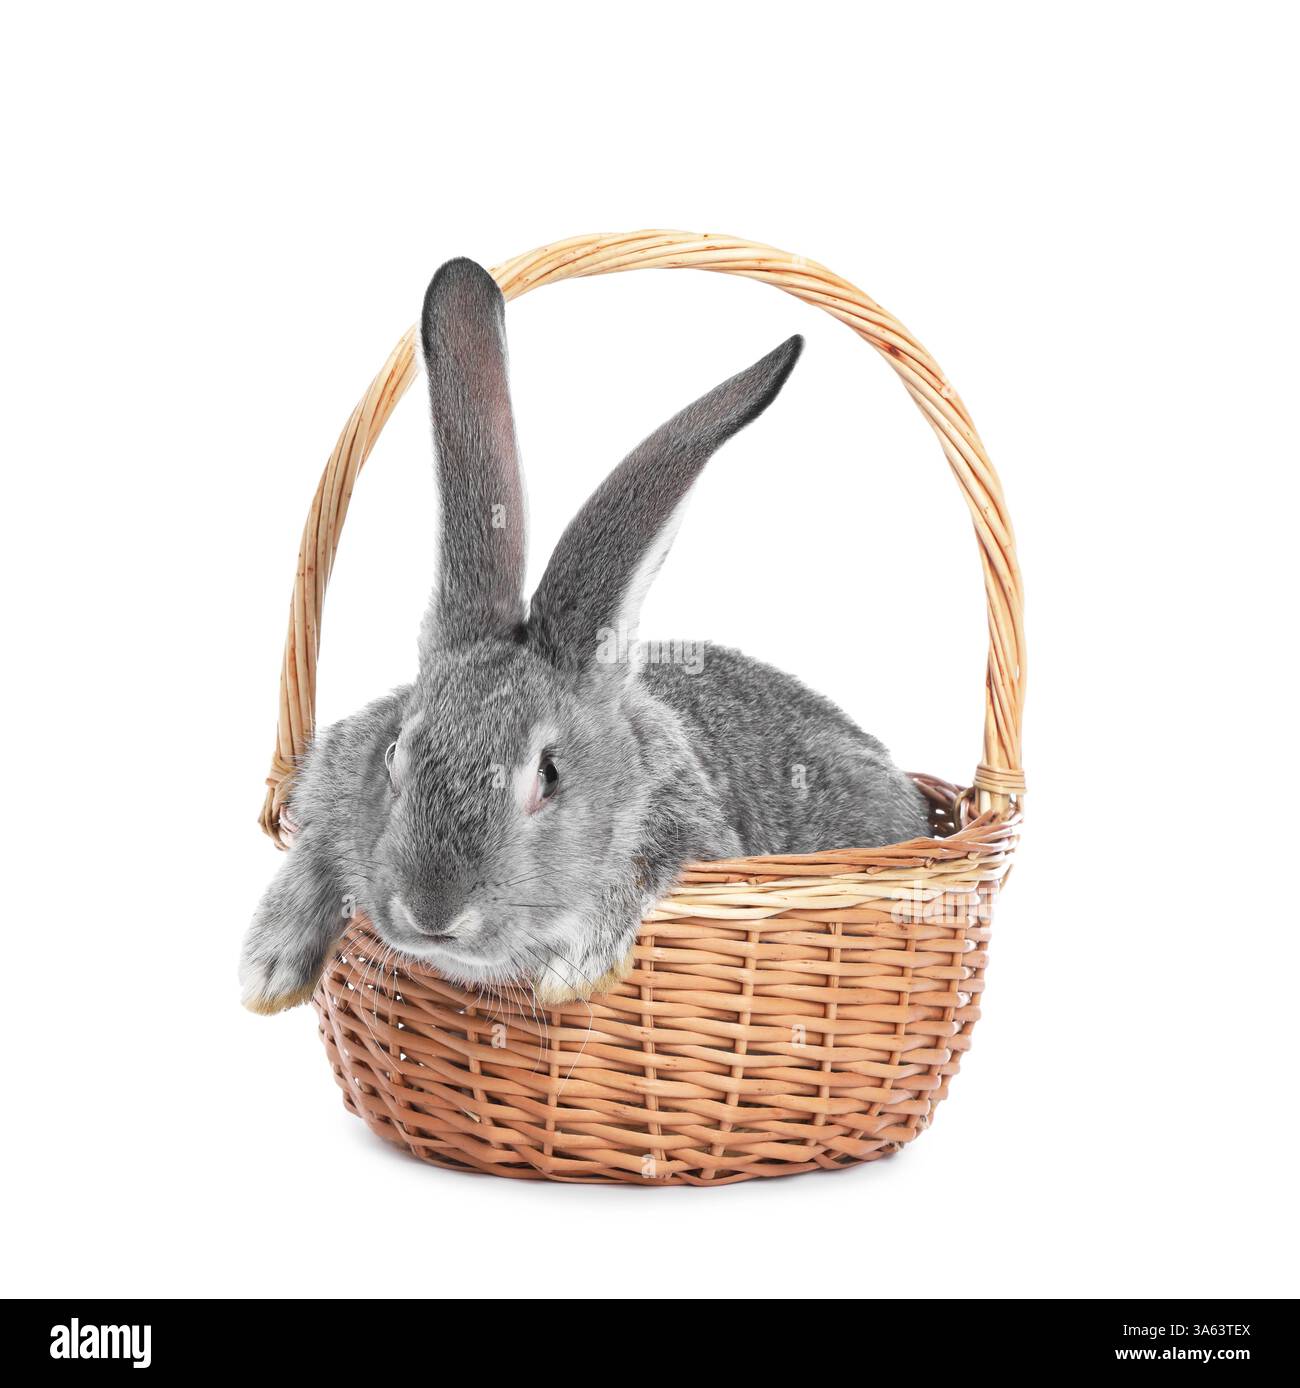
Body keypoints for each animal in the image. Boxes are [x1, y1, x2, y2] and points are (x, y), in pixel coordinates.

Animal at [240, 257, 930, 1014]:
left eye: (550, 773)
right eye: (395, 754)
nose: (432, 913)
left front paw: (573, 969)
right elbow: (317, 846)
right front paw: (270, 964)